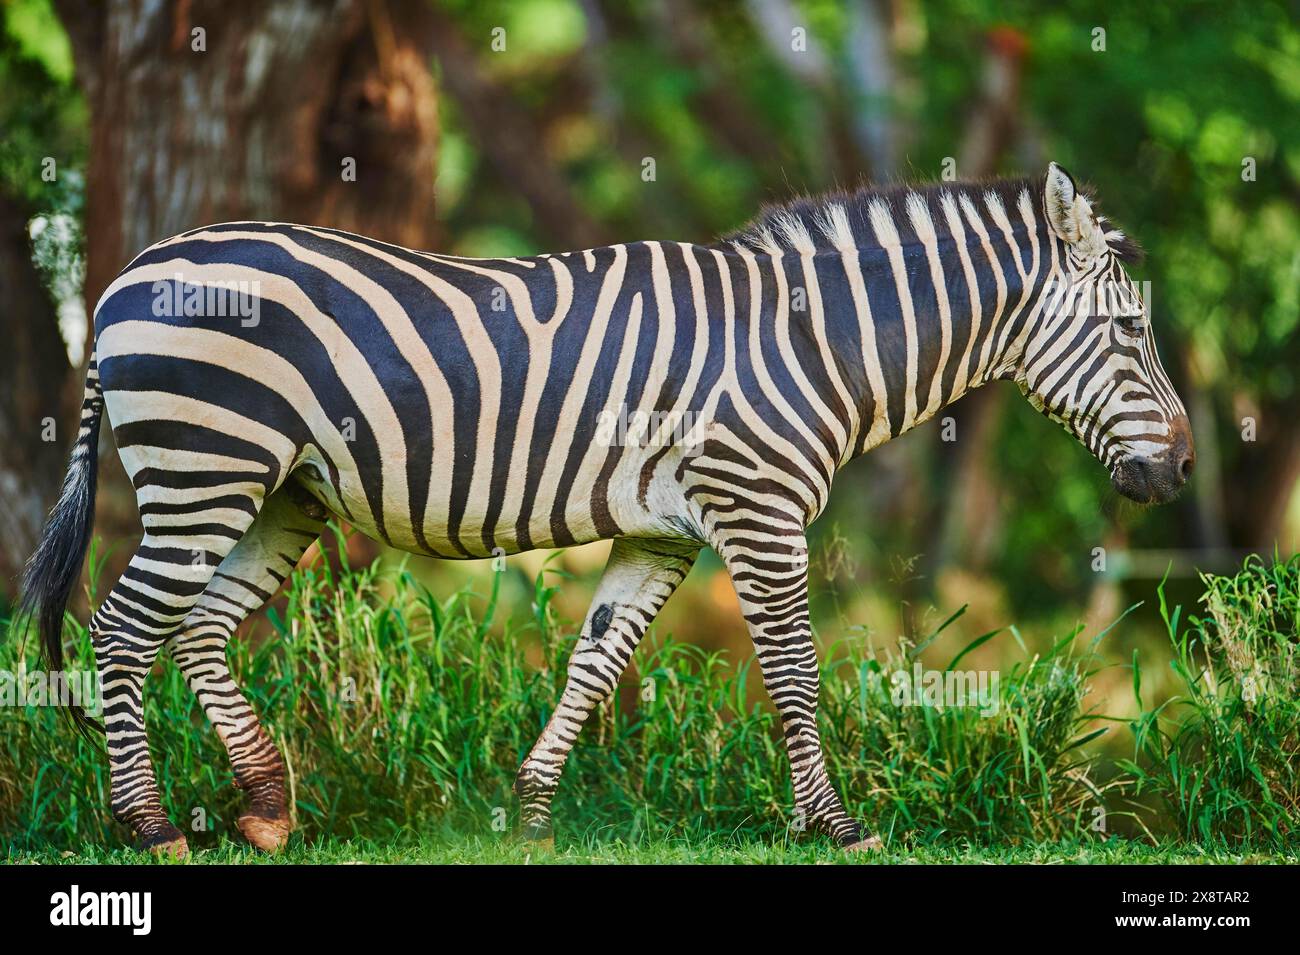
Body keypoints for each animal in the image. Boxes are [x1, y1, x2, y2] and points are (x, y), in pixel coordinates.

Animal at [21, 162, 1193, 855]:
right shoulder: (759, 508)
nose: (1181, 471)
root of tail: (124, 275)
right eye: (1132, 332)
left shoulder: (658, 531)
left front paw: (532, 813)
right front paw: (834, 824)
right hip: (205, 464)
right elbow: (794, 673)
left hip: (283, 492)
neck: (809, 340)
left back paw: (266, 807)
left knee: (198, 628)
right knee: (122, 629)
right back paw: (150, 825)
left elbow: (593, 662)